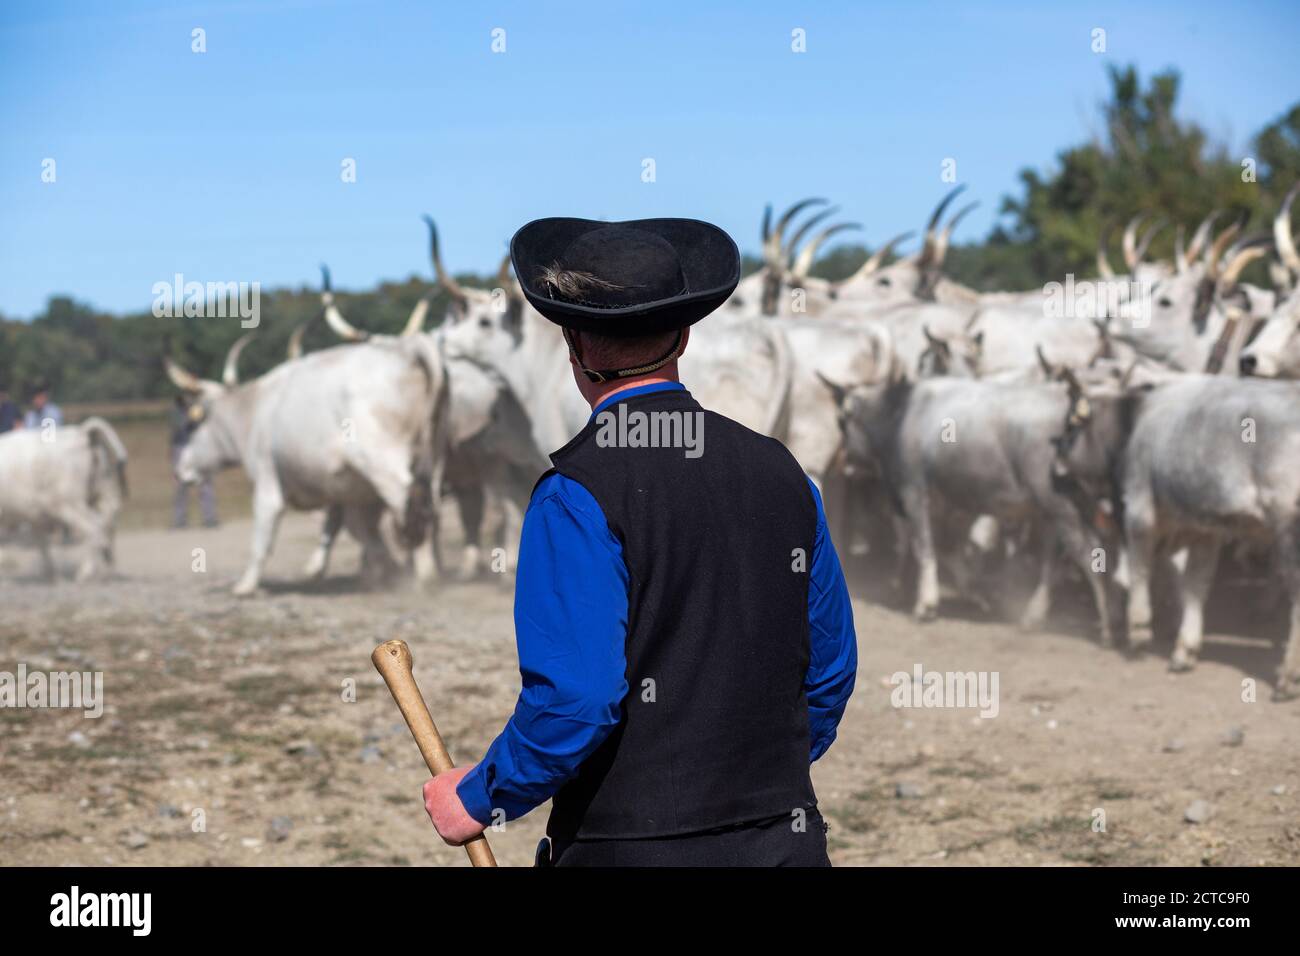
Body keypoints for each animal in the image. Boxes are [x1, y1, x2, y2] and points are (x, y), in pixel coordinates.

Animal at [0, 417, 128, 581]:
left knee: (94, 527)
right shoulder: (35, 517)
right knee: (109, 519)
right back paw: (107, 565)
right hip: (101, 489)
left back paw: (85, 573)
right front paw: (50, 576)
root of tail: (80, 434)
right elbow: (42, 543)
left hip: (69, 504)